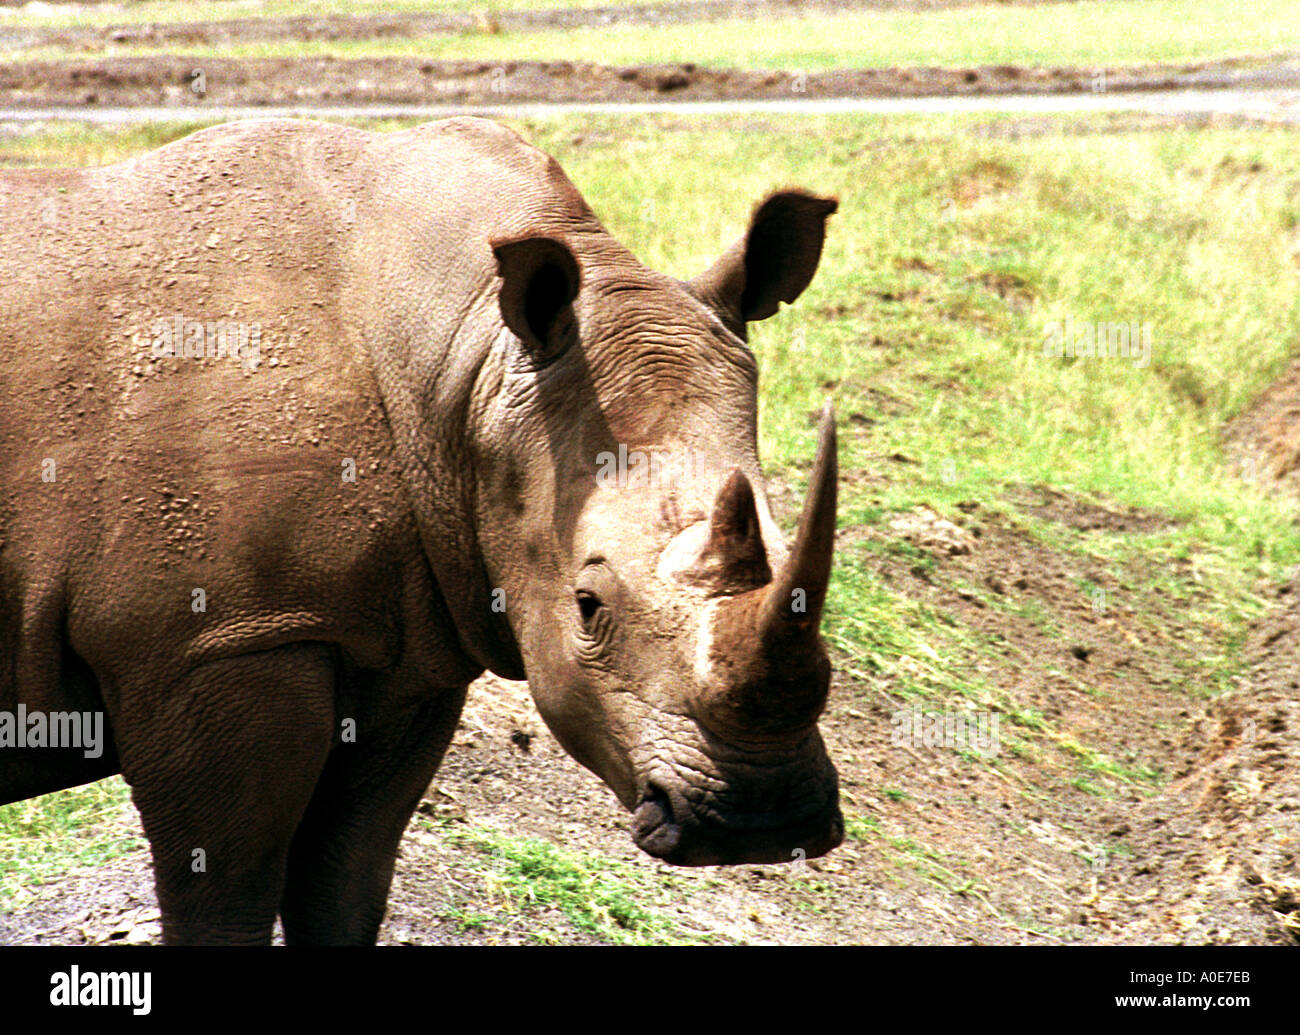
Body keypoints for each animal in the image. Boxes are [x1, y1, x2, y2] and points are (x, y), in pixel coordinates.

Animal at [0, 117, 841, 945]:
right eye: (588, 605)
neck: (471, 361)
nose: (762, 820)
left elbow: (346, 878)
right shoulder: (217, 638)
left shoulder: (401, 652)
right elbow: (227, 889)